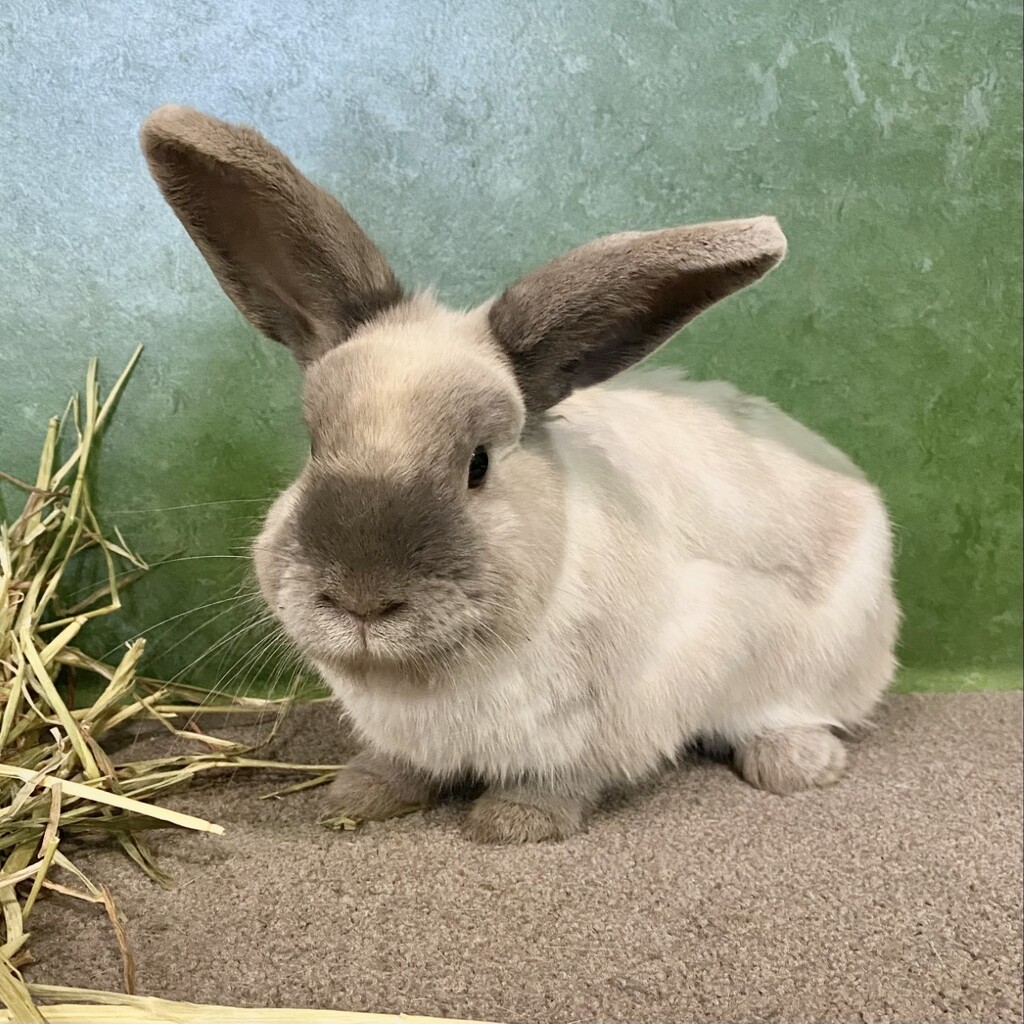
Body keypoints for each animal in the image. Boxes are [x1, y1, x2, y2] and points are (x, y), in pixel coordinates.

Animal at [141, 105, 900, 844]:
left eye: (478, 463)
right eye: (312, 444)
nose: (362, 600)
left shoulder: (609, 718)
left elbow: (559, 779)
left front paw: (514, 822)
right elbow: (401, 766)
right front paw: (361, 793)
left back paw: (797, 764)